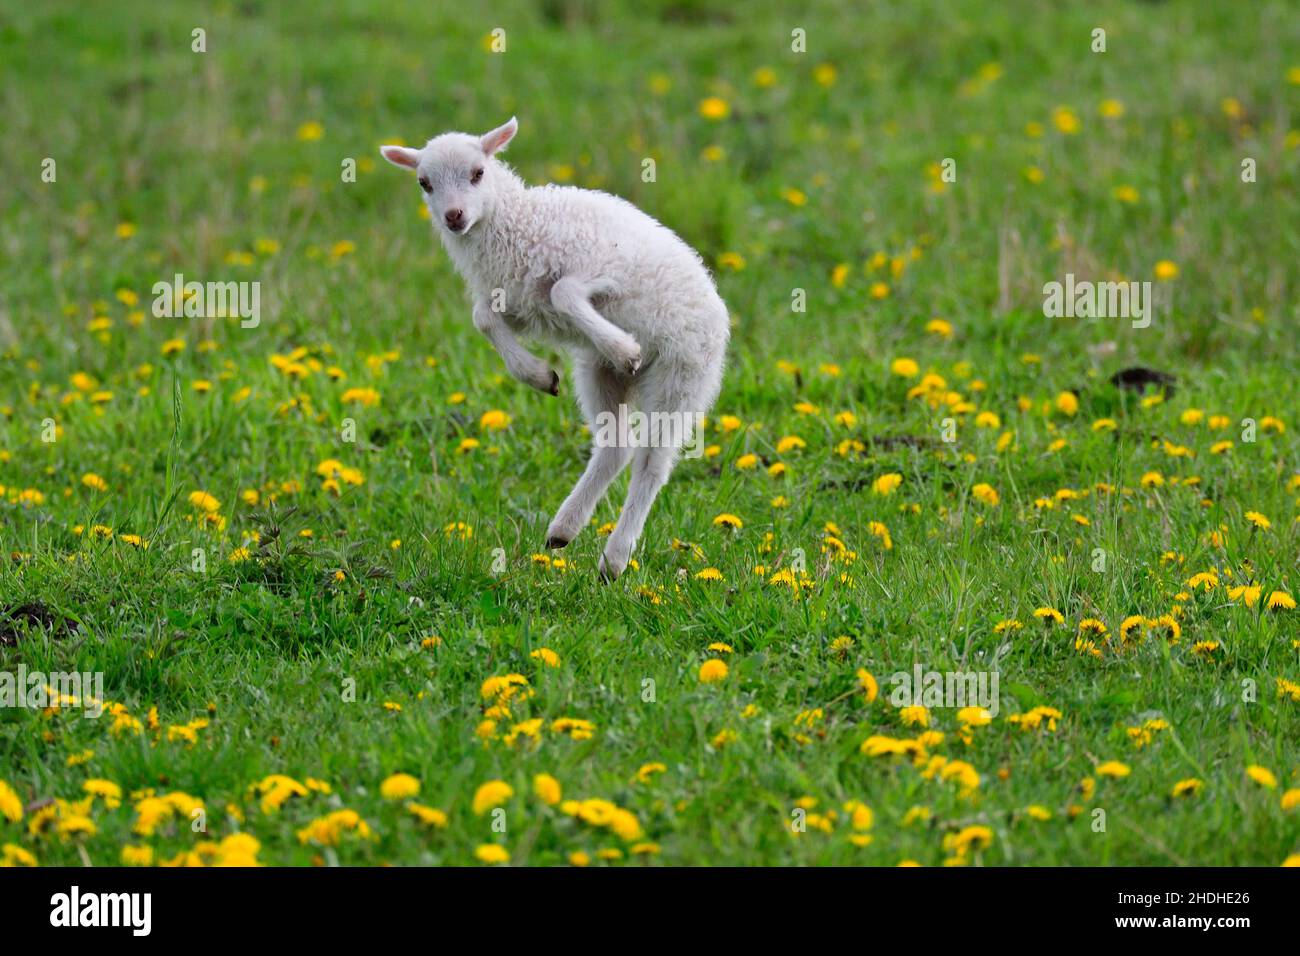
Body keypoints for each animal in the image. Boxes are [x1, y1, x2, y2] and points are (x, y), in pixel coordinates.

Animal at [381, 118, 729, 580]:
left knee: (652, 464)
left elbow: (563, 292)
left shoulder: (603, 271)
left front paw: (624, 346)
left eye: (478, 173)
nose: (454, 216)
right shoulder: (521, 300)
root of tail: (718, 310)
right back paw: (564, 529)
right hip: (598, 374)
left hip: (682, 375)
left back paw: (615, 557)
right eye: (424, 183)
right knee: (616, 446)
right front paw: (540, 376)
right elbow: (482, 317)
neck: (518, 225)